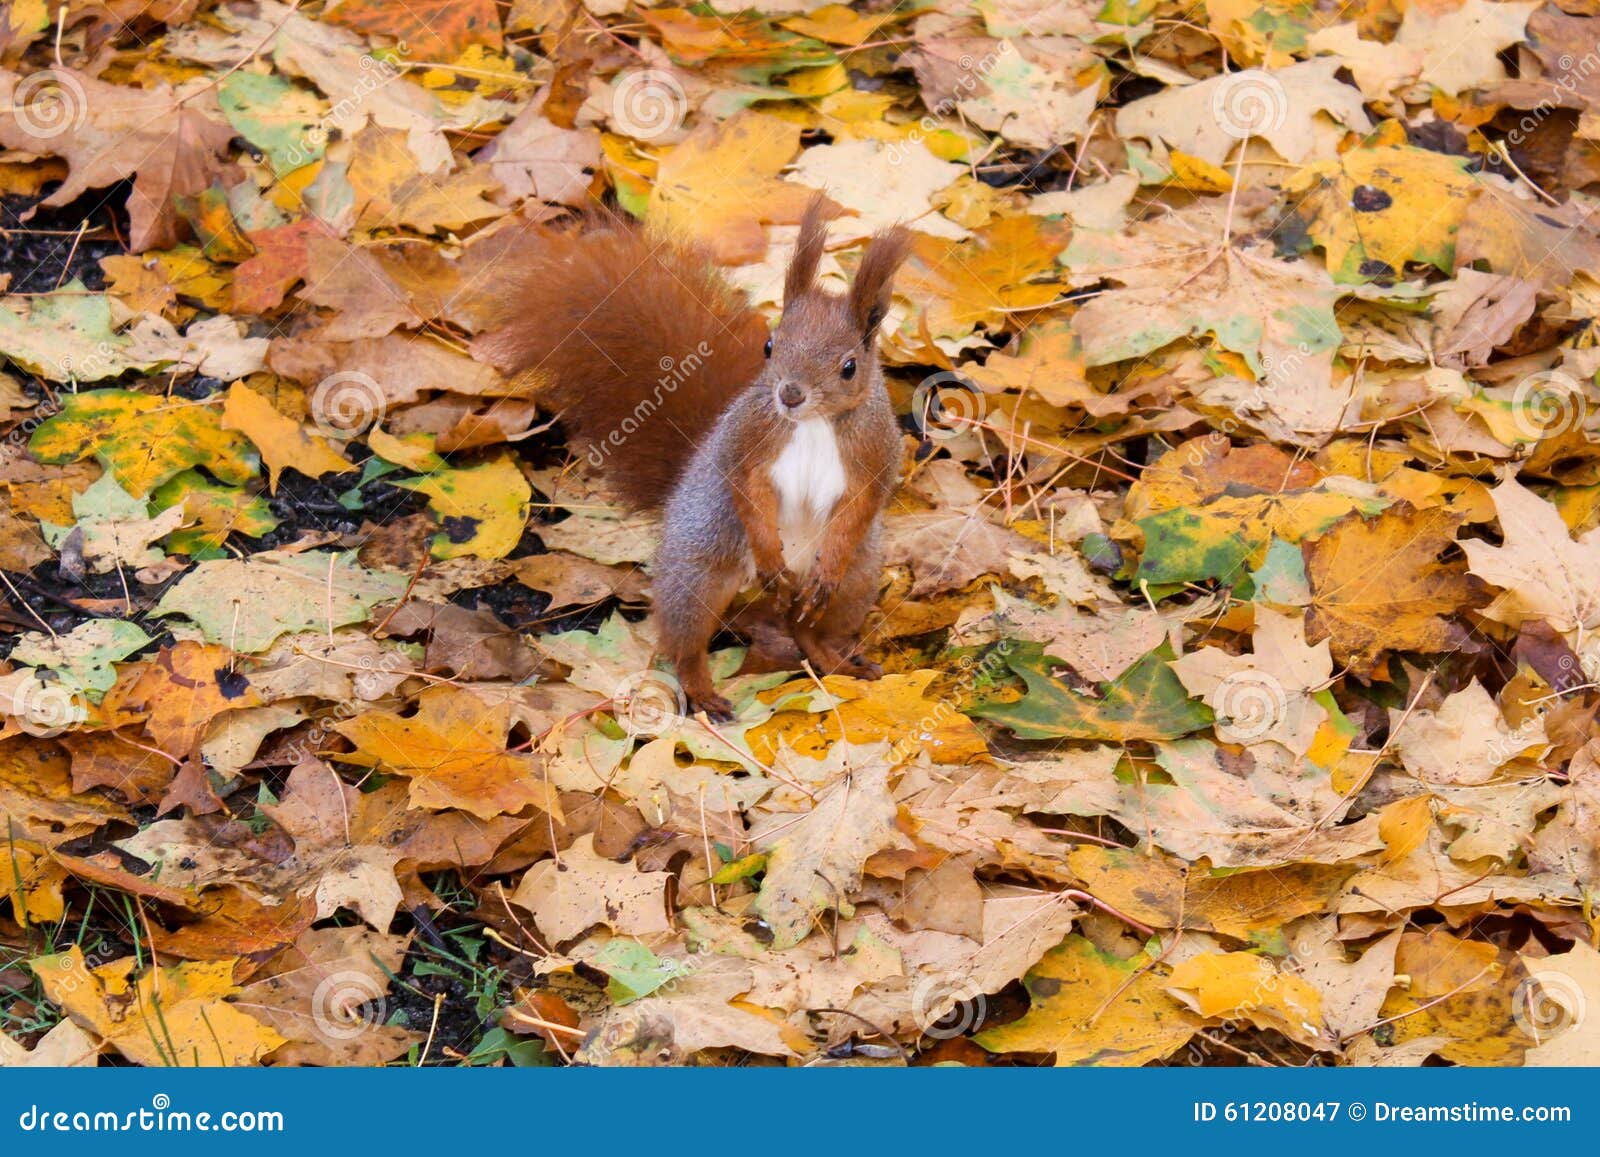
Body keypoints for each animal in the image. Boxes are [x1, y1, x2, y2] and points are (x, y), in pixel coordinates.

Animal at [471, 195, 913, 721]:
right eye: (770, 345)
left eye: (849, 367)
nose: (789, 394)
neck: (813, 424)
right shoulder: (747, 439)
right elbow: (747, 486)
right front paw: (770, 555)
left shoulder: (876, 452)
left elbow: (863, 502)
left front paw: (829, 565)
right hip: (698, 569)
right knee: (686, 642)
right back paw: (704, 690)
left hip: (857, 582)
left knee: (808, 628)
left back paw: (836, 657)